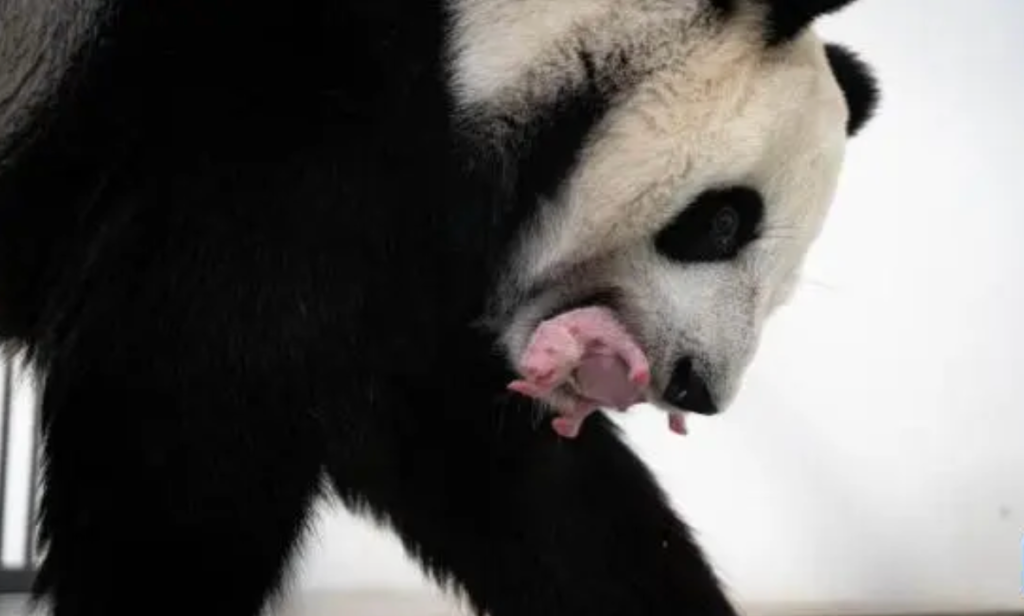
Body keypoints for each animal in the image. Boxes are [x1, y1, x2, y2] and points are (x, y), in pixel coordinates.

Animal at [0, 0, 879, 614]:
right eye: (724, 221)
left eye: (781, 291)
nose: (699, 386)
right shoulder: (270, 124)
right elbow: (191, 411)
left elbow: (466, 447)